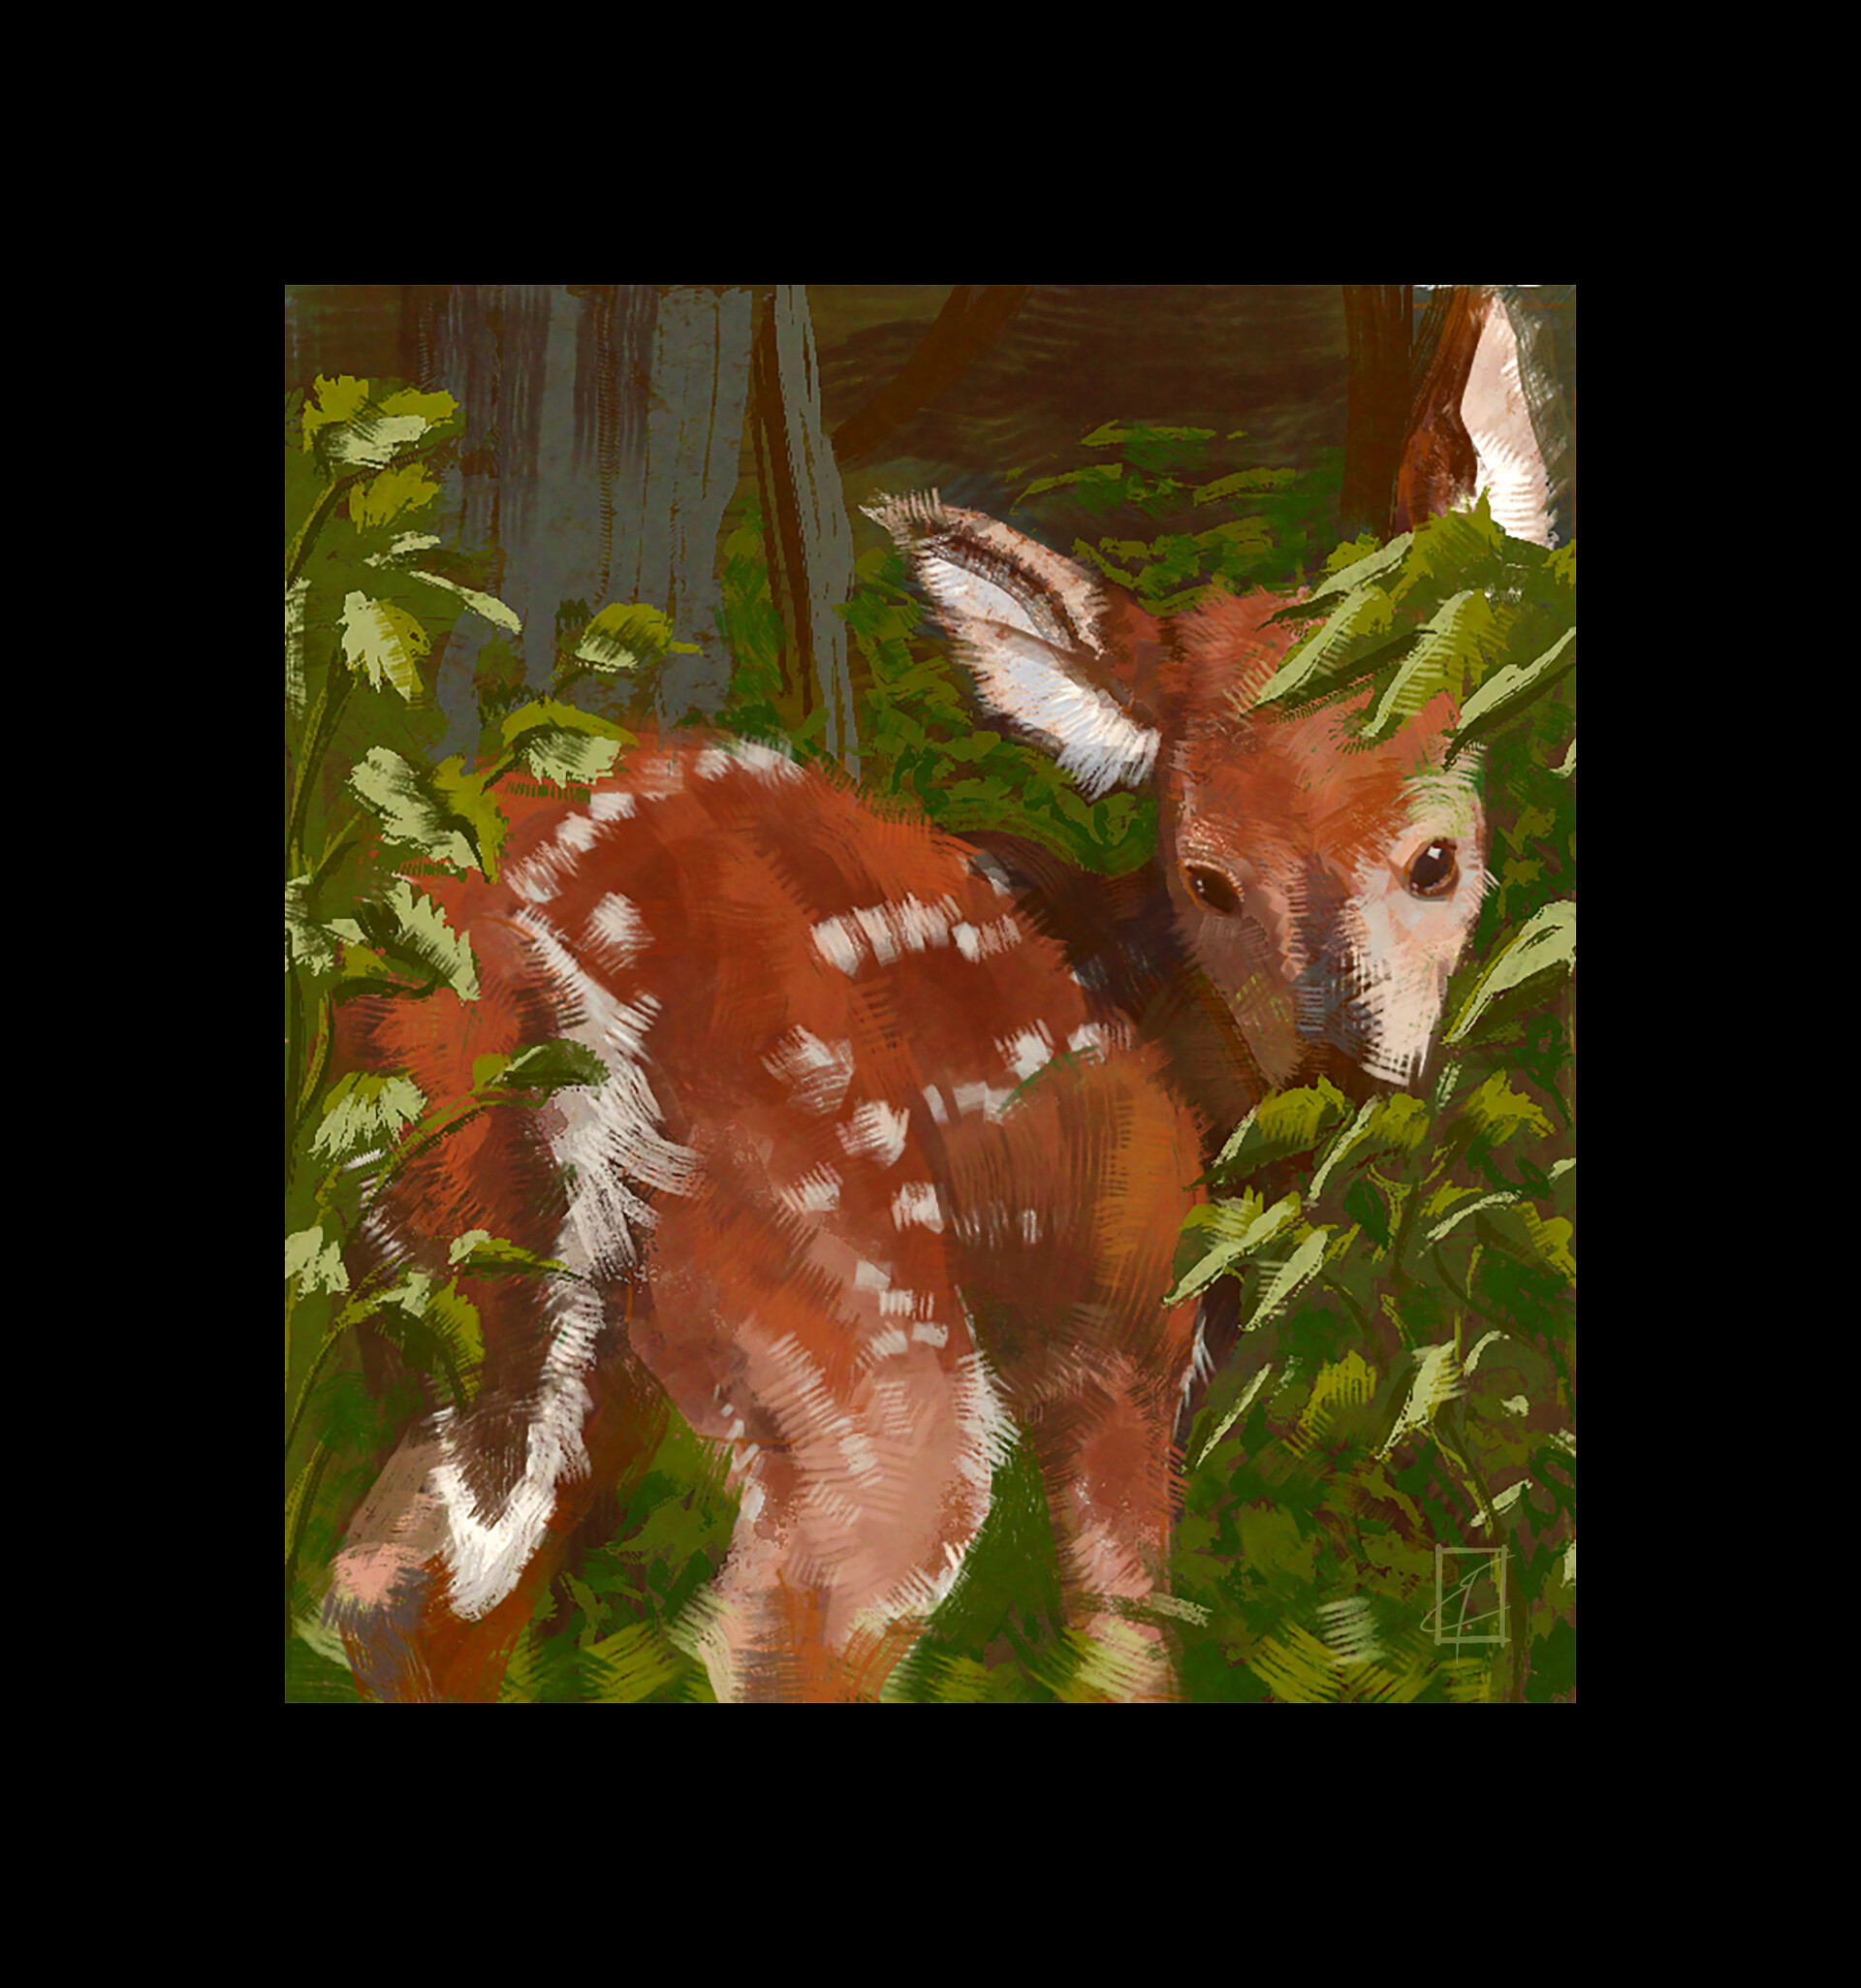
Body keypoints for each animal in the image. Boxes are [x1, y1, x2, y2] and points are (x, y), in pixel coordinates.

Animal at [319, 291, 1554, 1702]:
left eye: (1433, 857)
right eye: (1209, 875)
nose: (1353, 1064)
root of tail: (519, 953)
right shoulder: (1116, 1320)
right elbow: (1128, 1638)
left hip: (478, 1289)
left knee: (396, 1582)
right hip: (841, 1276)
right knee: (790, 1616)